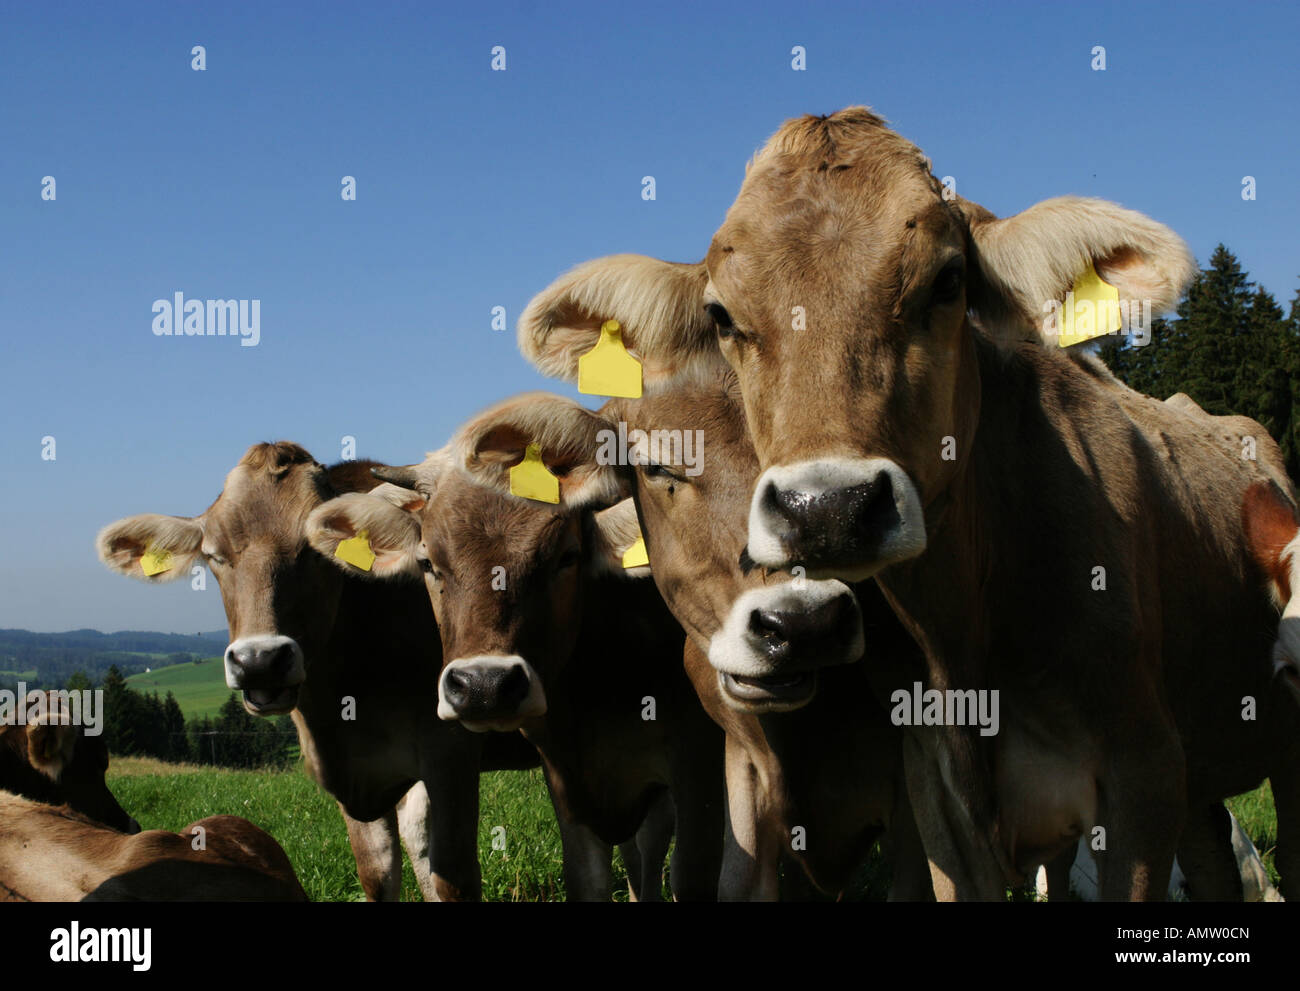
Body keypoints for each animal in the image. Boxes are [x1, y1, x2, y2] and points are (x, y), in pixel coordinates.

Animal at [97, 443, 539, 901]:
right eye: (215, 555)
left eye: (313, 550)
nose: (259, 662)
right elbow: (380, 873)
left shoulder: (450, 750)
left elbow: (453, 877)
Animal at [302, 403, 725, 901]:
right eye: (427, 562)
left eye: (567, 556)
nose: (484, 687)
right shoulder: (564, 773)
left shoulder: (697, 754)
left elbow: (693, 872)